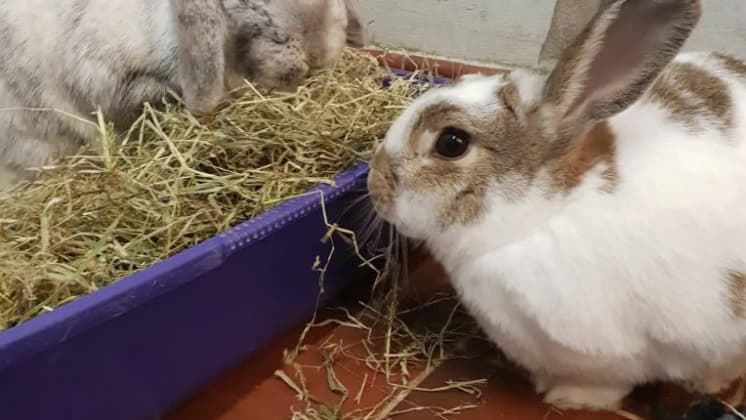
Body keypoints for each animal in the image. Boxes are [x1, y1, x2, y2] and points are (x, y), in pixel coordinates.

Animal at [367, 0, 746, 412]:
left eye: (452, 142)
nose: (374, 185)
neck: (545, 213)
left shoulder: (615, 353)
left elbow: (609, 383)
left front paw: (566, 396)